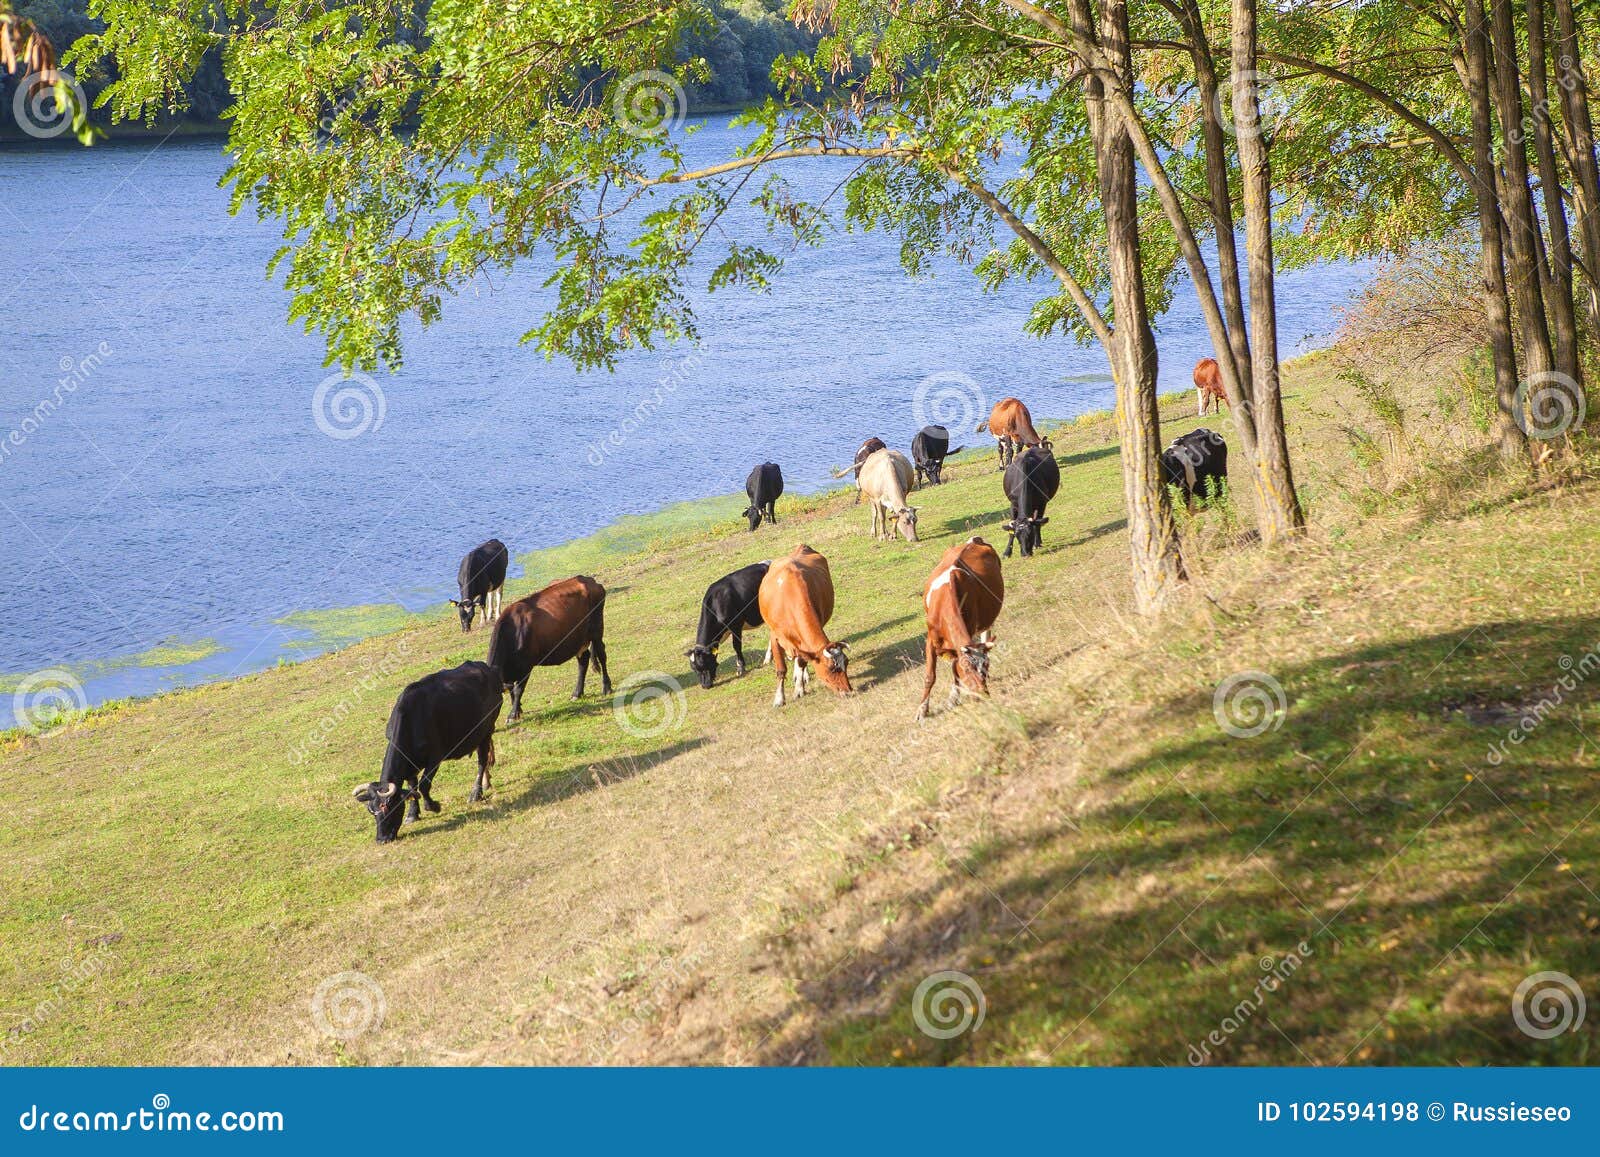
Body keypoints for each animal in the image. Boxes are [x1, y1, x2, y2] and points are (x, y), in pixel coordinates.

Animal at [351, 661, 502, 843]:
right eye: (372, 811)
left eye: (389, 808)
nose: (382, 839)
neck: (411, 721)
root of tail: (485, 667)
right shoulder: (410, 765)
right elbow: (412, 787)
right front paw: (412, 814)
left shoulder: (435, 757)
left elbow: (423, 785)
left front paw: (434, 806)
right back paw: (487, 783)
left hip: (487, 729)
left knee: (482, 761)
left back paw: (476, 793)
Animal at [486, 575, 612, 722]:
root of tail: (589, 580)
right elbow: (512, 691)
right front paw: (518, 711)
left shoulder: (526, 667)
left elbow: (518, 690)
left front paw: (512, 714)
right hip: (578, 639)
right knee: (583, 660)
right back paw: (577, 693)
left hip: (597, 629)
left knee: (602, 655)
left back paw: (607, 687)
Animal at [684, 560, 770, 689]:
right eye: (694, 669)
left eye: (704, 663)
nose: (705, 686)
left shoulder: (736, 625)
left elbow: (736, 646)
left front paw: (740, 668)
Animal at [757, 544, 852, 707]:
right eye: (832, 668)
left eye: (846, 663)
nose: (848, 691)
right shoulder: (775, 636)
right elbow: (781, 670)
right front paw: (779, 698)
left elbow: (802, 662)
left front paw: (799, 689)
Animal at [918, 537, 1004, 720]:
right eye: (966, 667)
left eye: (987, 665)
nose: (984, 693)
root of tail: (974, 540)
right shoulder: (930, 639)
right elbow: (930, 676)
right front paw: (922, 711)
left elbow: (954, 673)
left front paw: (953, 699)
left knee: (986, 633)